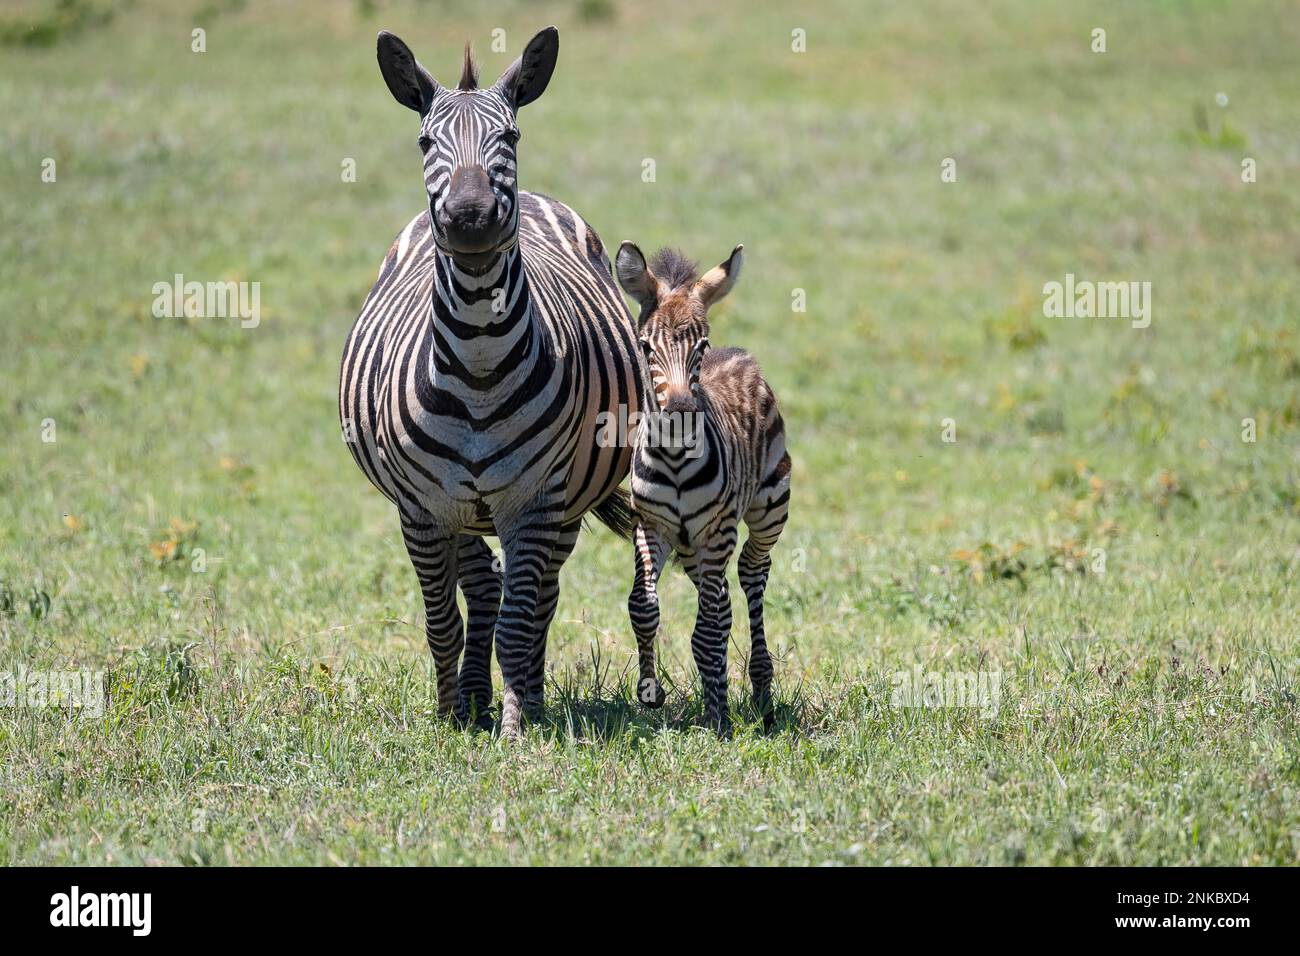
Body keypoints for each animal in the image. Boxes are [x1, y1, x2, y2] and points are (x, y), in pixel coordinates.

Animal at [339, 27, 642, 738]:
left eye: (512, 137)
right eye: (425, 142)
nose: (471, 218)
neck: (478, 363)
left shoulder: (535, 501)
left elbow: (519, 622)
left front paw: (515, 726)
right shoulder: (420, 509)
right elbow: (442, 622)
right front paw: (452, 716)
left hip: (557, 505)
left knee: (535, 599)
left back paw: (521, 698)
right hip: (458, 510)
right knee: (480, 587)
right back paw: (473, 698)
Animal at [615, 242, 792, 734]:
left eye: (701, 345)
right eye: (644, 346)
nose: (679, 409)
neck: (675, 460)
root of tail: (741, 354)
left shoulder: (716, 530)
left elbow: (708, 628)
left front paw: (718, 717)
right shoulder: (650, 526)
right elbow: (643, 606)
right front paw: (650, 694)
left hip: (767, 508)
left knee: (751, 572)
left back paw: (761, 690)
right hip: (691, 544)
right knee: (723, 599)